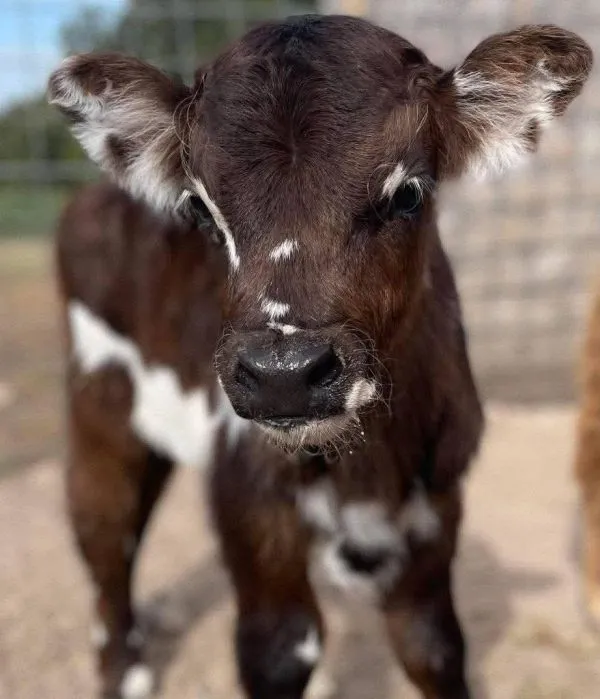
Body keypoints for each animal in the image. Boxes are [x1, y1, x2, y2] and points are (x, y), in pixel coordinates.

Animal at [48, 14, 592, 699]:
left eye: (408, 193)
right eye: (199, 207)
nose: (283, 375)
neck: (370, 464)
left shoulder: (435, 510)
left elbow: (434, 647)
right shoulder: (252, 507)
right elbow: (280, 651)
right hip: (99, 400)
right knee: (103, 524)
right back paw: (125, 669)